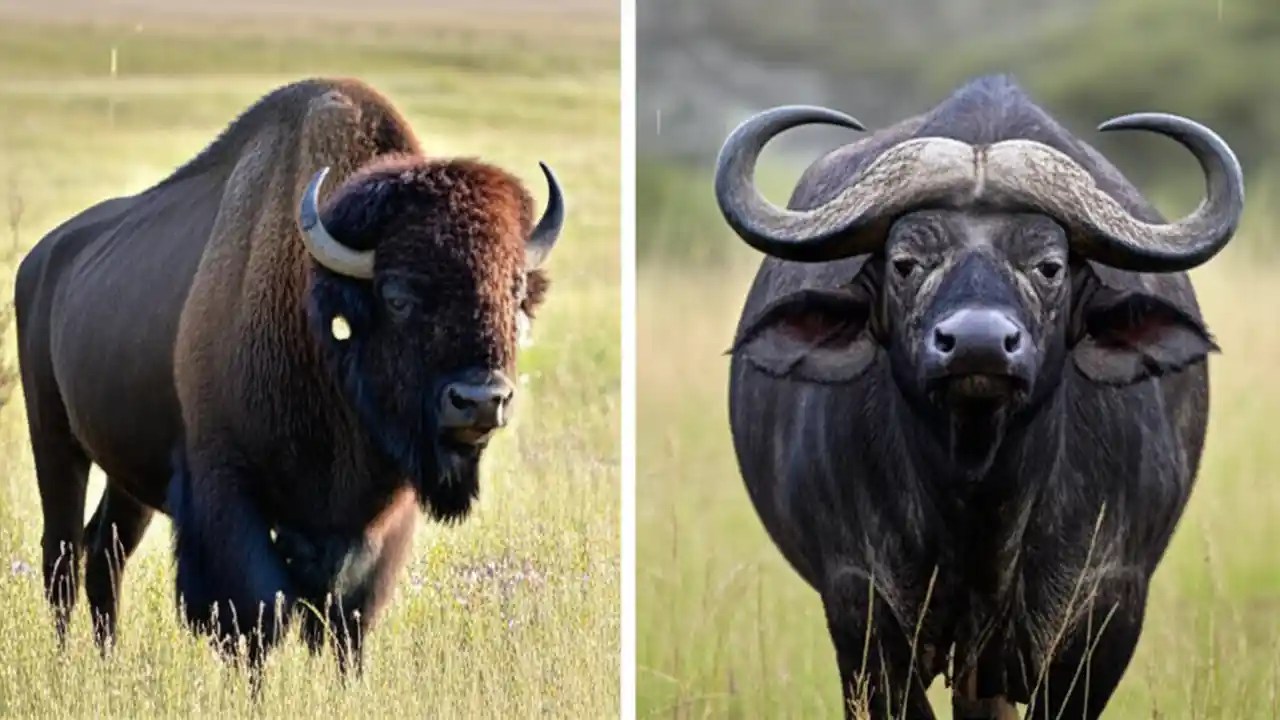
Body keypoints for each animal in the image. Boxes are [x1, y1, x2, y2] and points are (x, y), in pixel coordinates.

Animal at [15, 77, 564, 668]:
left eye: (514, 293)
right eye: (397, 296)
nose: (481, 400)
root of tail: (41, 258)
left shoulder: (372, 520)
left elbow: (346, 620)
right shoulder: (229, 492)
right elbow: (258, 615)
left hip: (128, 475)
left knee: (105, 550)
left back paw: (107, 660)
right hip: (55, 441)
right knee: (62, 554)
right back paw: (64, 661)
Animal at [715, 75, 1243, 718]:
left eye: (1049, 265)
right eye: (905, 263)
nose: (978, 344)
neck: (981, 500)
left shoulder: (1109, 607)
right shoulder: (858, 609)